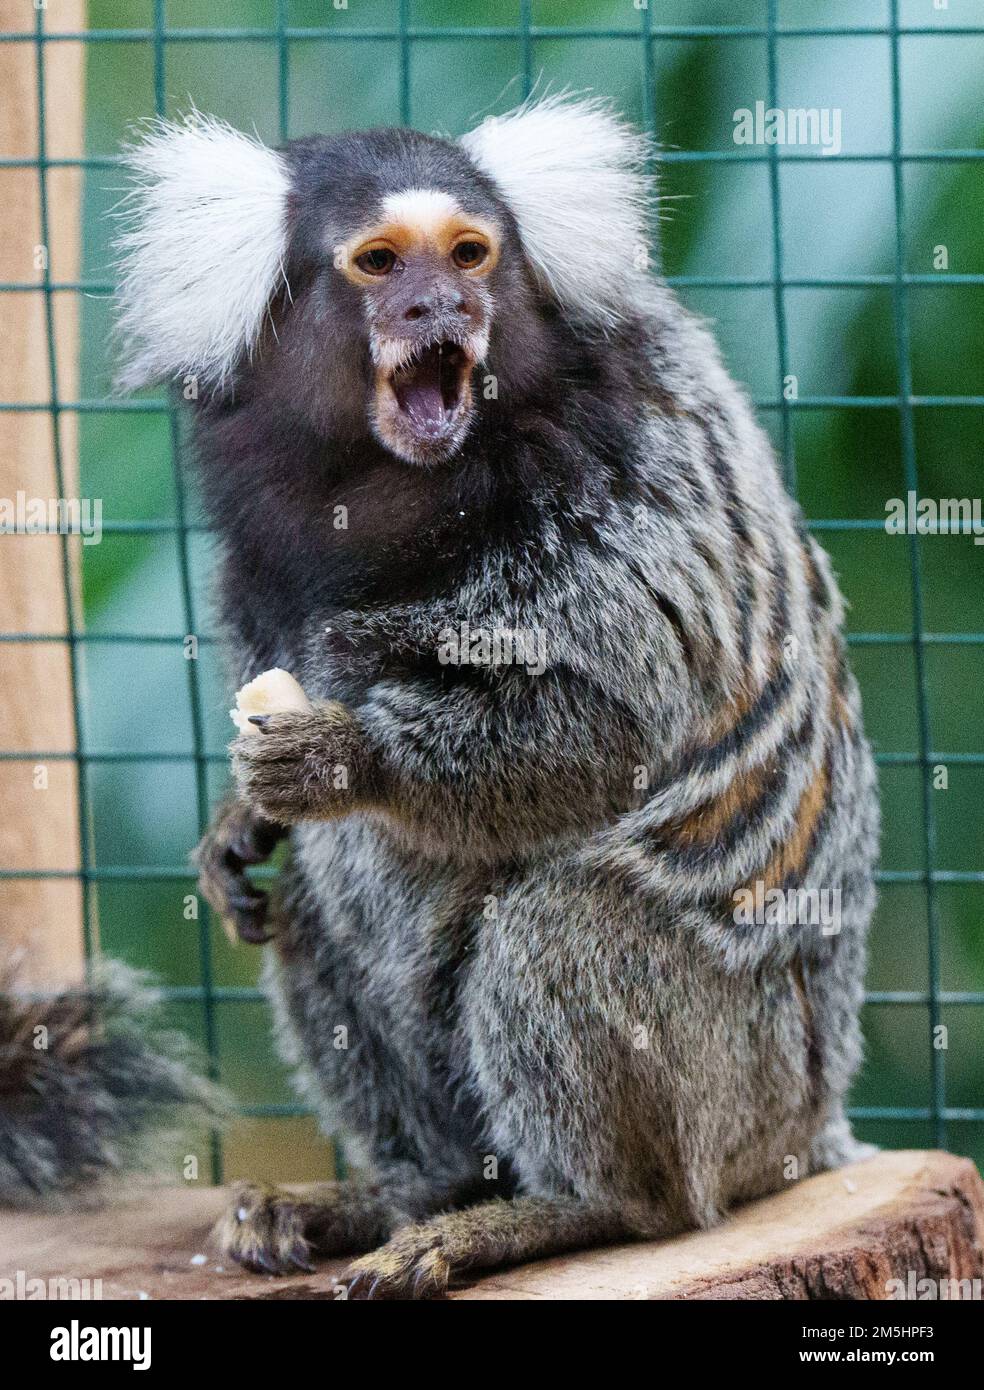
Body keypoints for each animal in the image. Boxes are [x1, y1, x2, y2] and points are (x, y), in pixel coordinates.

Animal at [113, 95, 879, 1299]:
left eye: (470, 254)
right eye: (382, 263)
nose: (440, 308)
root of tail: (813, 1121)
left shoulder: (626, 467)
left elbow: (608, 731)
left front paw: (343, 759)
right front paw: (240, 825)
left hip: (745, 1089)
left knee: (559, 930)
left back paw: (555, 1213)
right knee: (320, 903)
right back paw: (409, 1193)